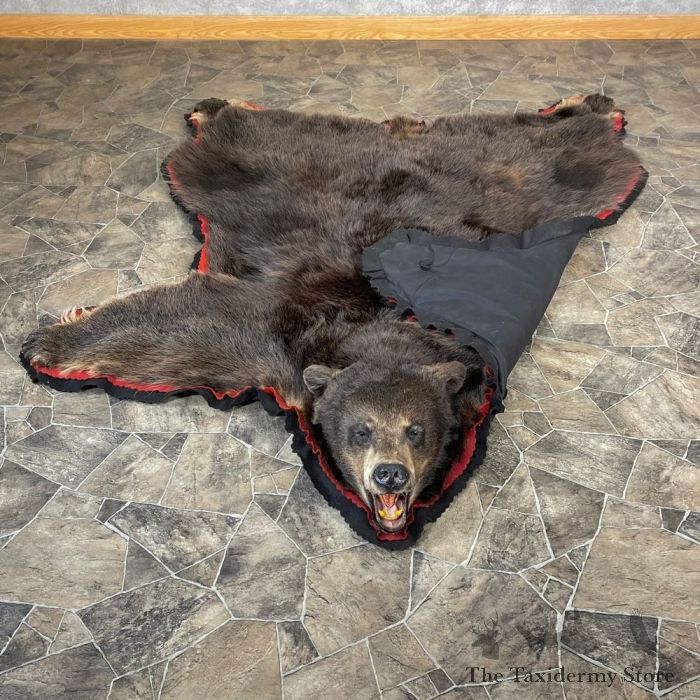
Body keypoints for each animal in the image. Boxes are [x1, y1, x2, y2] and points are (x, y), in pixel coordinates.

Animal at [21, 93, 641, 532]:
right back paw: (215, 107)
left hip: (539, 186)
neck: (382, 334)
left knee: (559, 145)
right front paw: (49, 342)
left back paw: (592, 106)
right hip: (264, 162)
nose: (390, 473)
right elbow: (192, 326)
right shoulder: (282, 328)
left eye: (417, 430)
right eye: (360, 430)